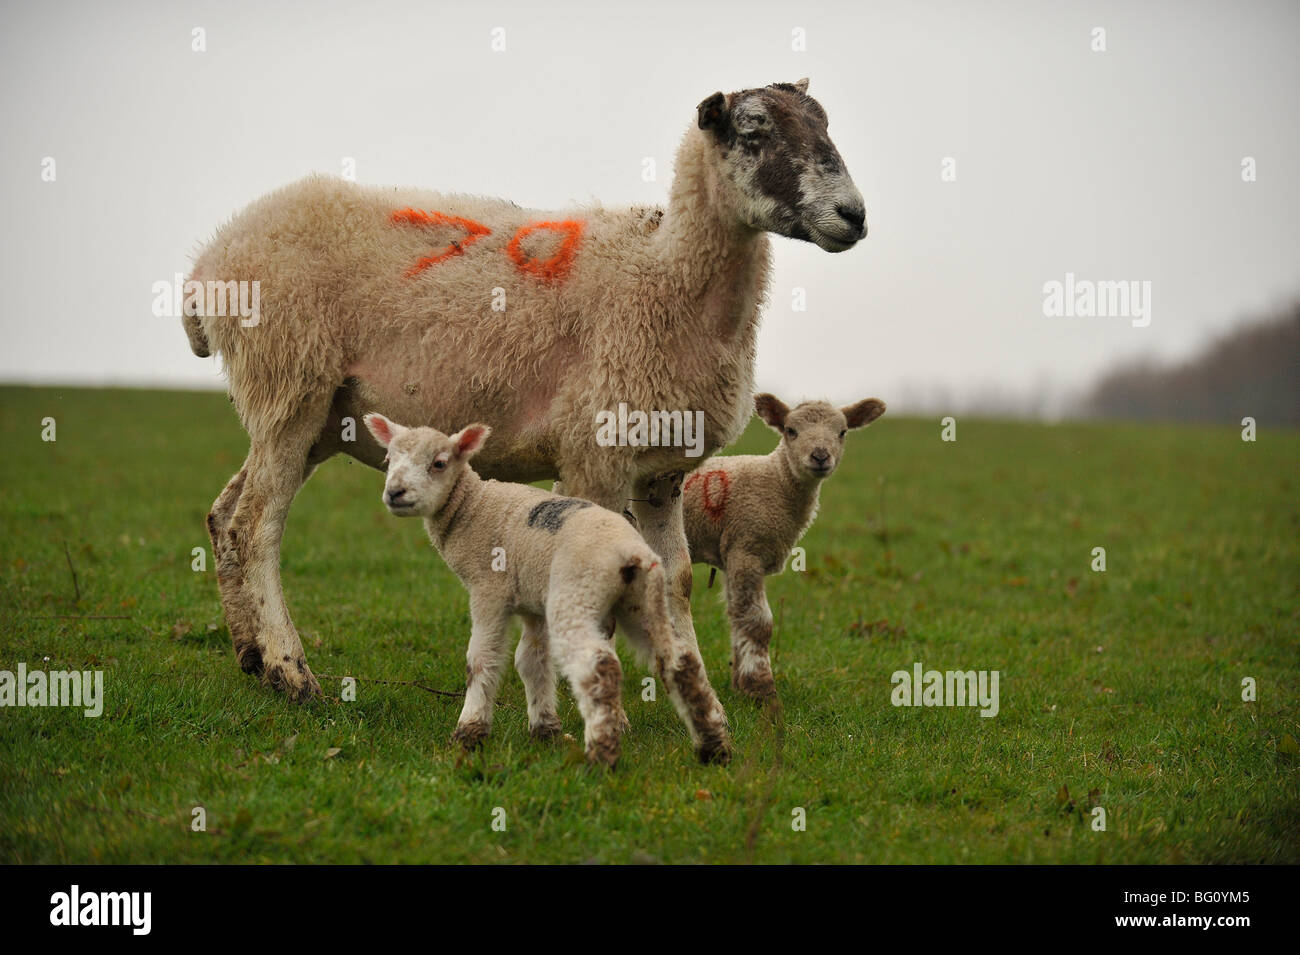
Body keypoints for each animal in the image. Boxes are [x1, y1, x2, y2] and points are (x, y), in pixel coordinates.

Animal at [361, 412, 731, 767]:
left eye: (439, 463)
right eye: (389, 458)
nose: (395, 493)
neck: (471, 508)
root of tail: (630, 551)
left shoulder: (489, 590)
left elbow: (481, 660)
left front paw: (469, 733)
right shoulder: (532, 602)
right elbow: (532, 662)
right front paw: (546, 731)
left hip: (575, 595)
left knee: (599, 666)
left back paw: (602, 754)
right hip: (643, 601)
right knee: (680, 661)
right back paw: (713, 747)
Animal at [680, 393, 886, 700]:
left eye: (842, 432)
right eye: (791, 430)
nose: (820, 456)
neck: (775, 481)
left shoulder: (734, 553)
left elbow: (736, 615)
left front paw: (740, 685)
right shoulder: (747, 546)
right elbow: (757, 621)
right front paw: (760, 688)